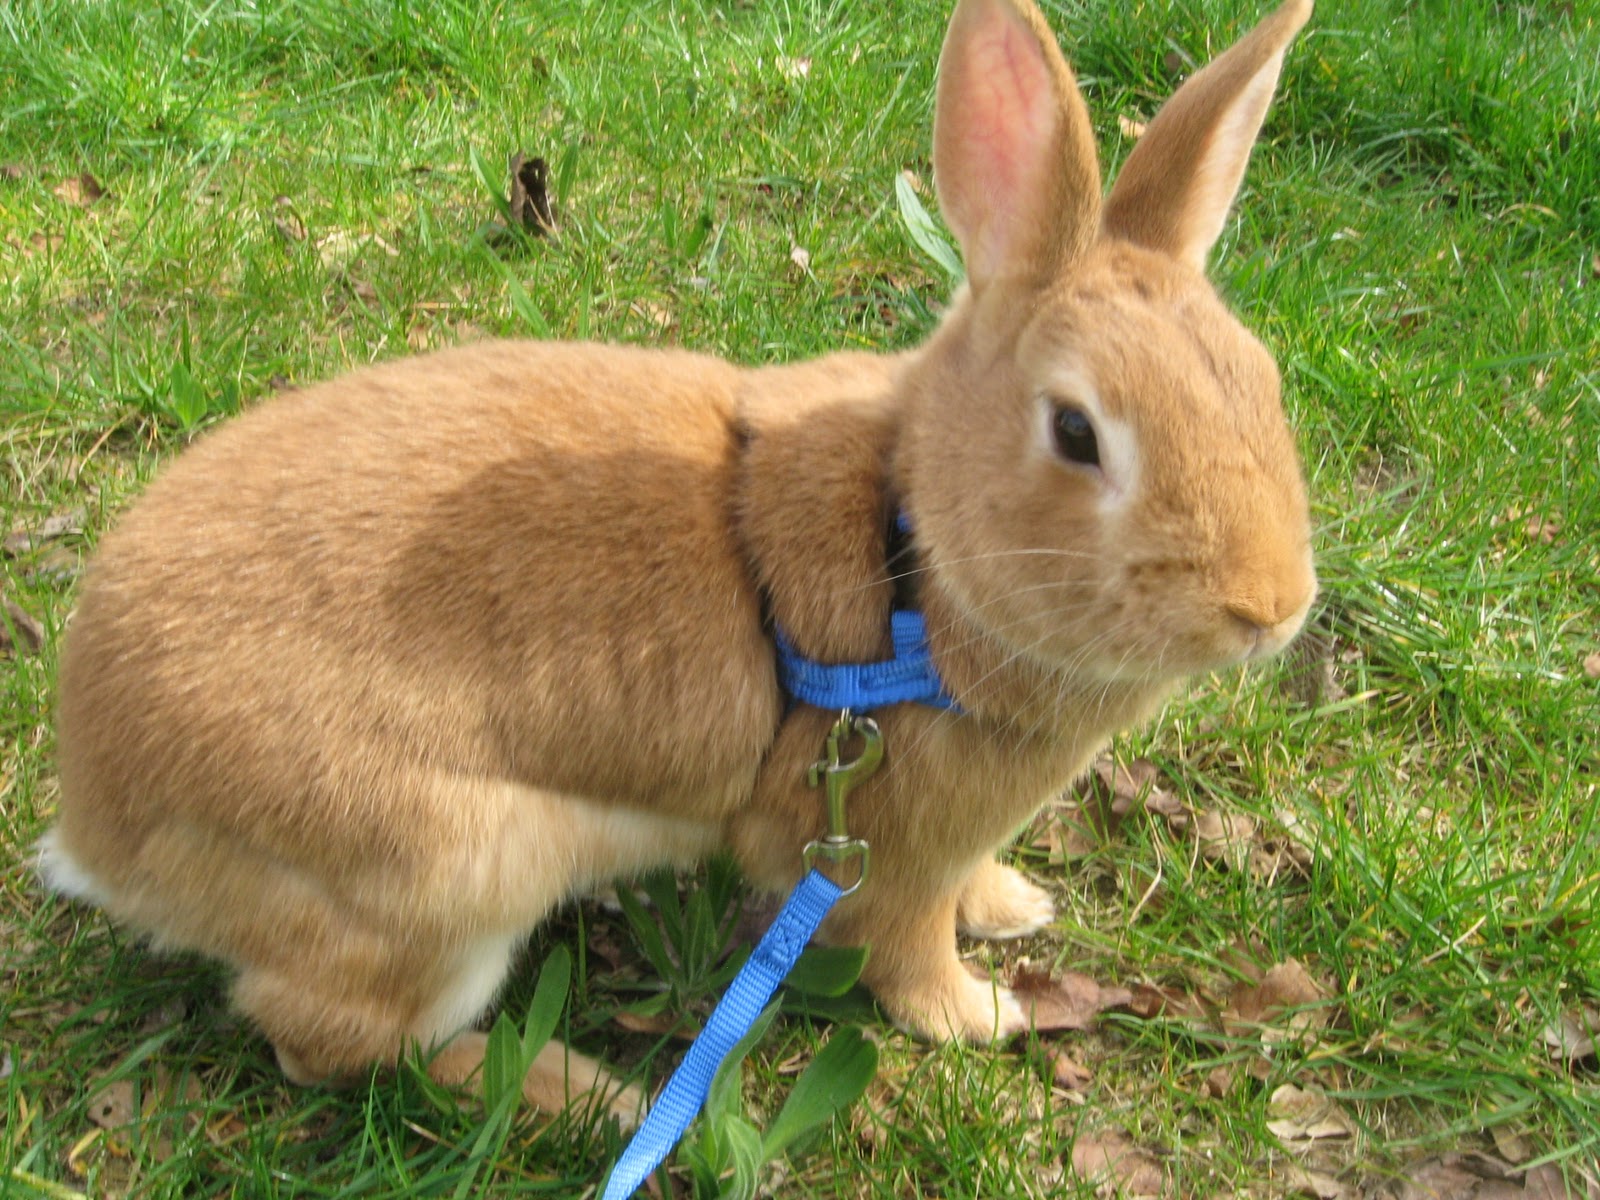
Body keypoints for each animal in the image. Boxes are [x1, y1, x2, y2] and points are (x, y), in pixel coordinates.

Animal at [40, 0, 1317, 1126]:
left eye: (1260, 377)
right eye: (1075, 433)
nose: (1268, 606)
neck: (912, 550)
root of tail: (99, 825)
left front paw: (1013, 905)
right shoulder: (881, 850)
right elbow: (906, 954)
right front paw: (980, 1016)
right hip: (444, 882)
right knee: (331, 1045)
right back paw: (584, 1098)